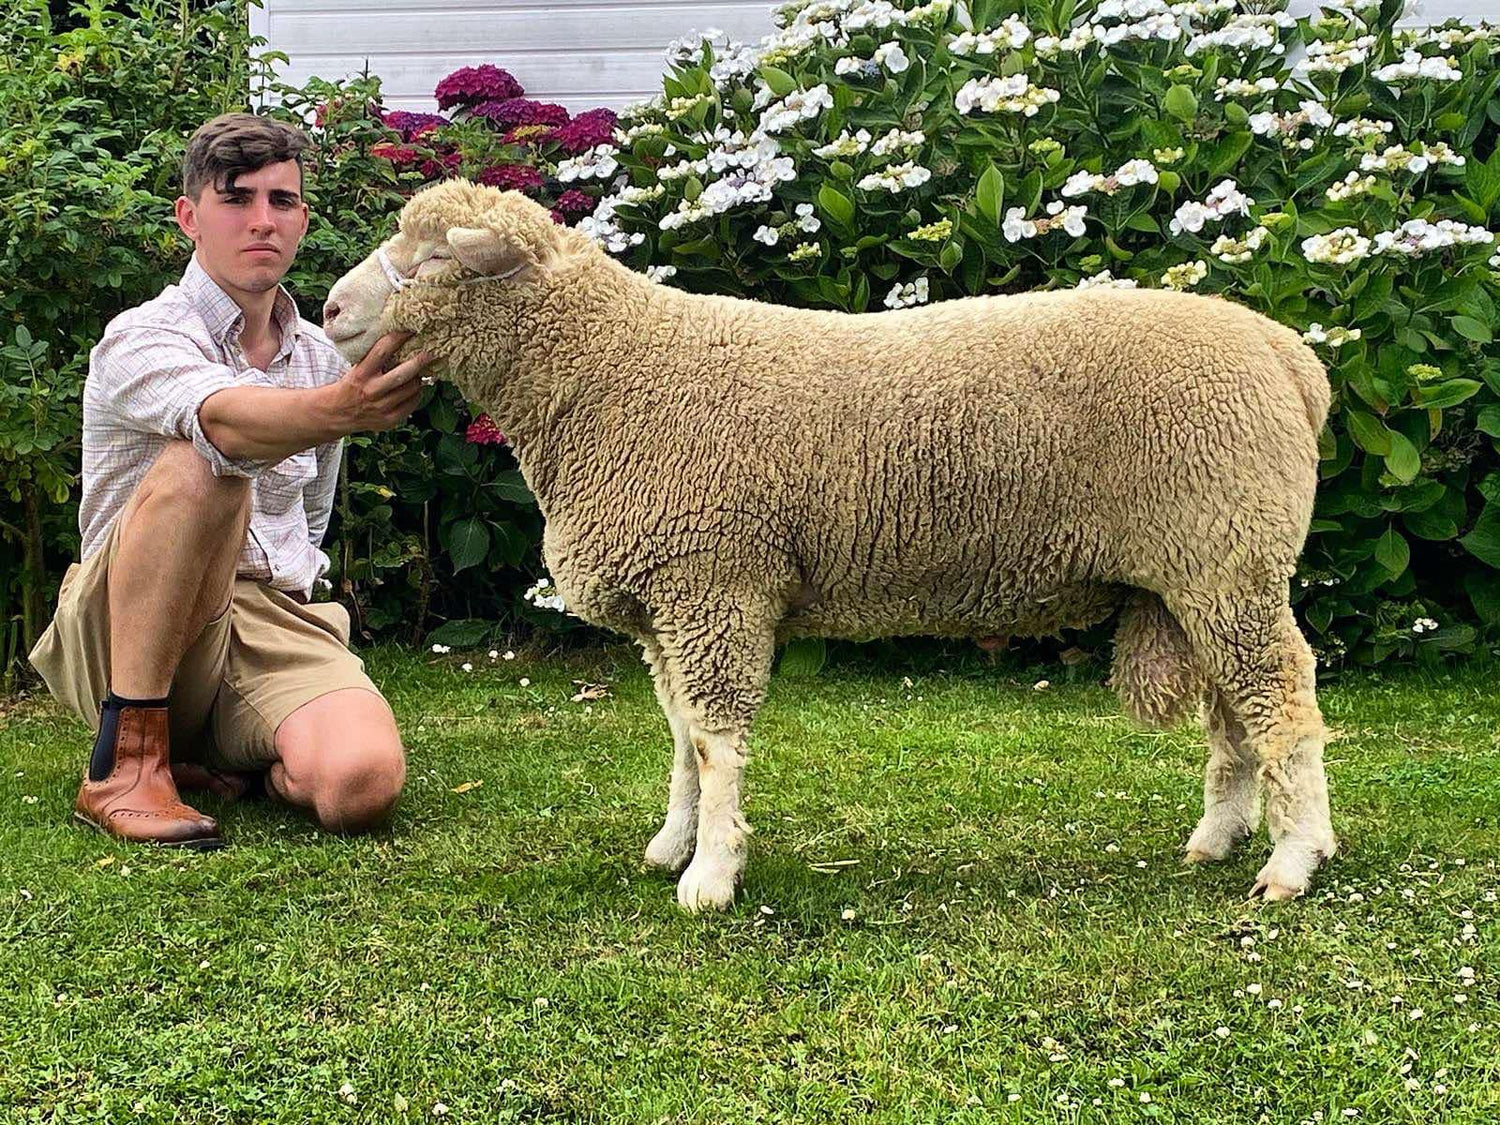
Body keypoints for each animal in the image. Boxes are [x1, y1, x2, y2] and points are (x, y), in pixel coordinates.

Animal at [323, 180, 1337, 912]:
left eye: (434, 257)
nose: (330, 309)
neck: (613, 374)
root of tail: (1290, 357)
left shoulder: (716, 584)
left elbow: (716, 744)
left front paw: (711, 876)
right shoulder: (669, 604)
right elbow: (682, 738)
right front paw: (674, 845)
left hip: (1229, 556)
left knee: (1285, 701)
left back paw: (1293, 860)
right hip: (1197, 572)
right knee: (1237, 715)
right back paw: (1220, 837)